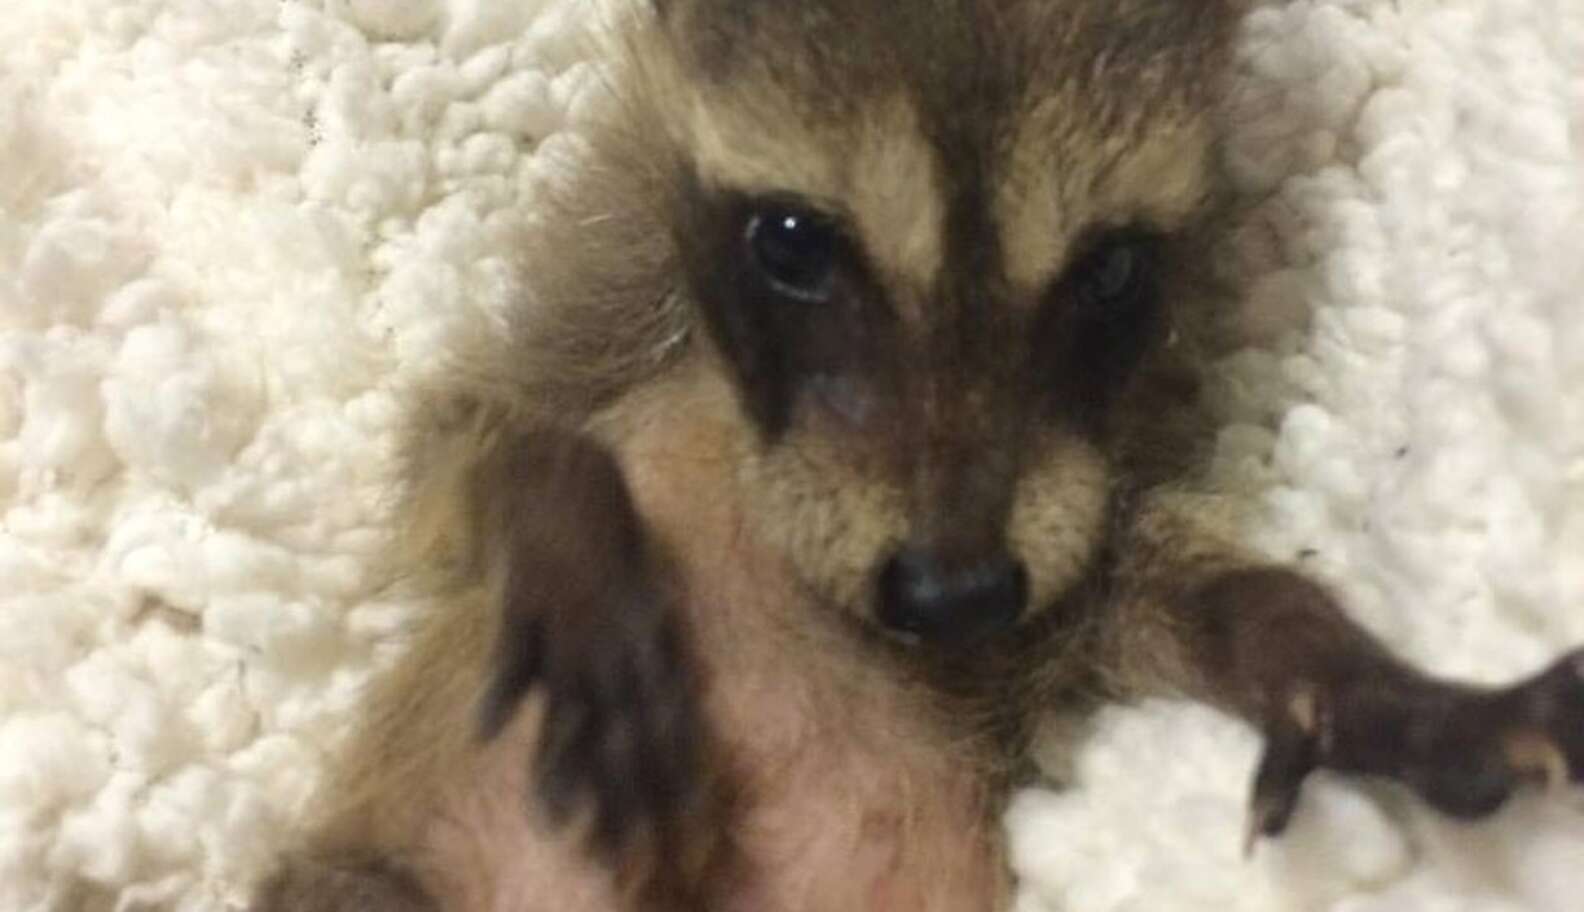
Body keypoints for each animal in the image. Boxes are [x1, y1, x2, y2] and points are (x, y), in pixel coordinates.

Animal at [253, 1, 1584, 910]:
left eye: (1111, 271)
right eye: (794, 243)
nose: (954, 596)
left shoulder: (1054, 520)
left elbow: (1135, 586)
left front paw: (1334, 664)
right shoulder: (604, 265)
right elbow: (462, 442)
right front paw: (564, 533)